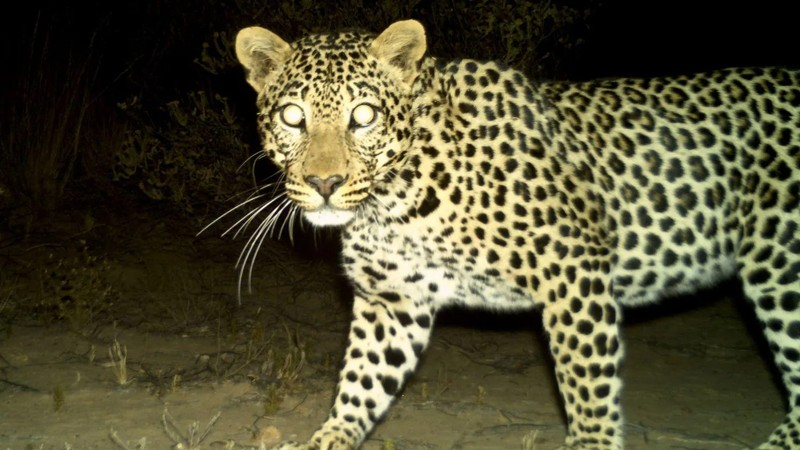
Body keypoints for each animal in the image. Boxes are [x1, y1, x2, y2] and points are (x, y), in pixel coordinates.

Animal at [233, 19, 800, 449]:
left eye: (364, 115)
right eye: (293, 117)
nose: (325, 184)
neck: (392, 201)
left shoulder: (575, 275)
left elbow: (587, 391)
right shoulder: (393, 301)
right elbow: (361, 381)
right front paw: (328, 438)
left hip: (779, 264)